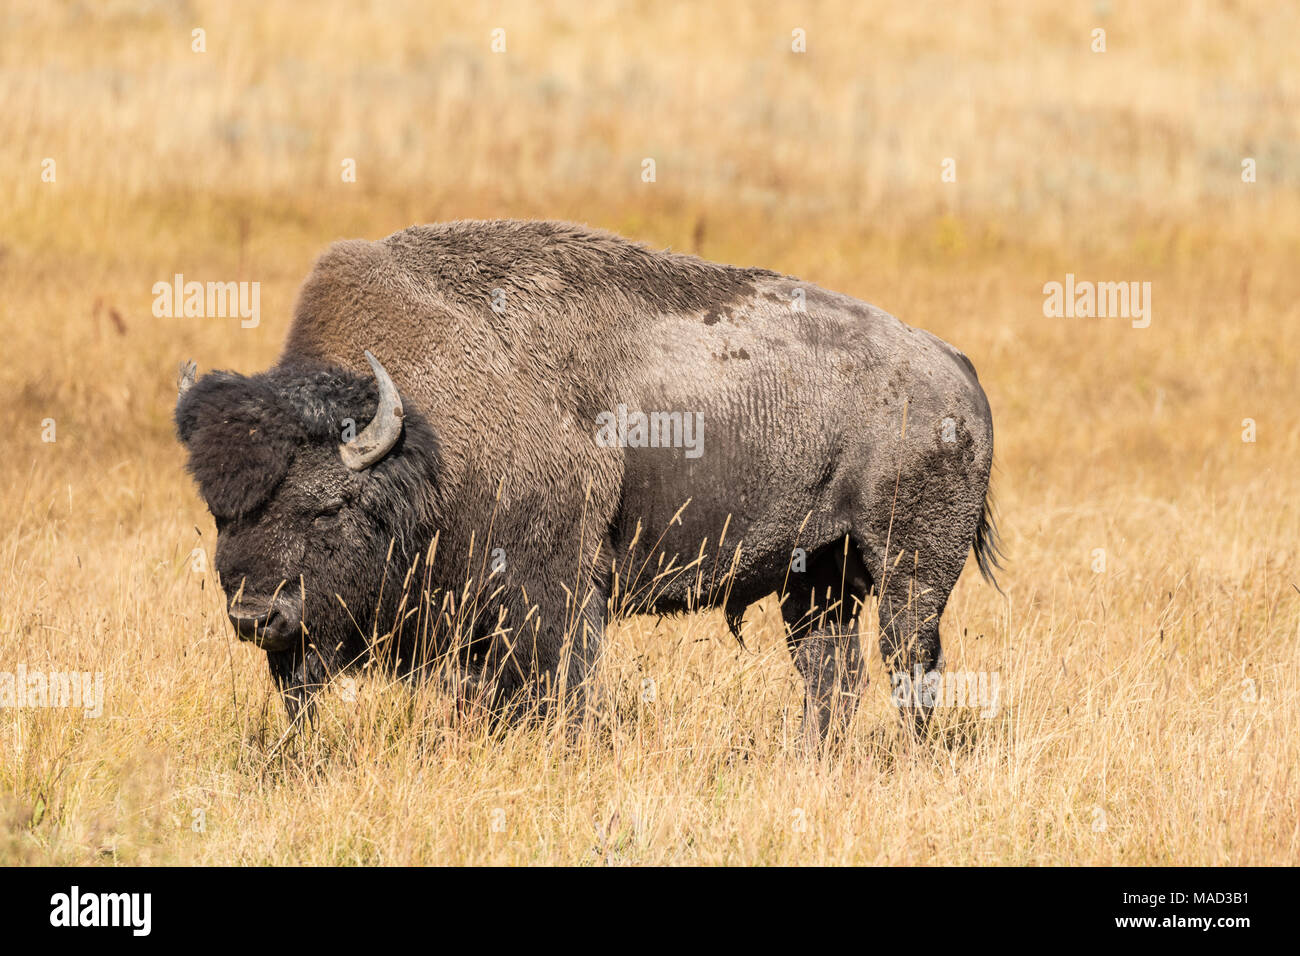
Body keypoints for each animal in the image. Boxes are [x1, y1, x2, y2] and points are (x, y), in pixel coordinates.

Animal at [176, 219, 1000, 744]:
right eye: (220, 514)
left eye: (328, 508)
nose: (255, 616)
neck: (423, 437)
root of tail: (954, 366)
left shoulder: (554, 589)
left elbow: (558, 686)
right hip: (817, 579)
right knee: (832, 675)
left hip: (907, 570)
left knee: (907, 664)